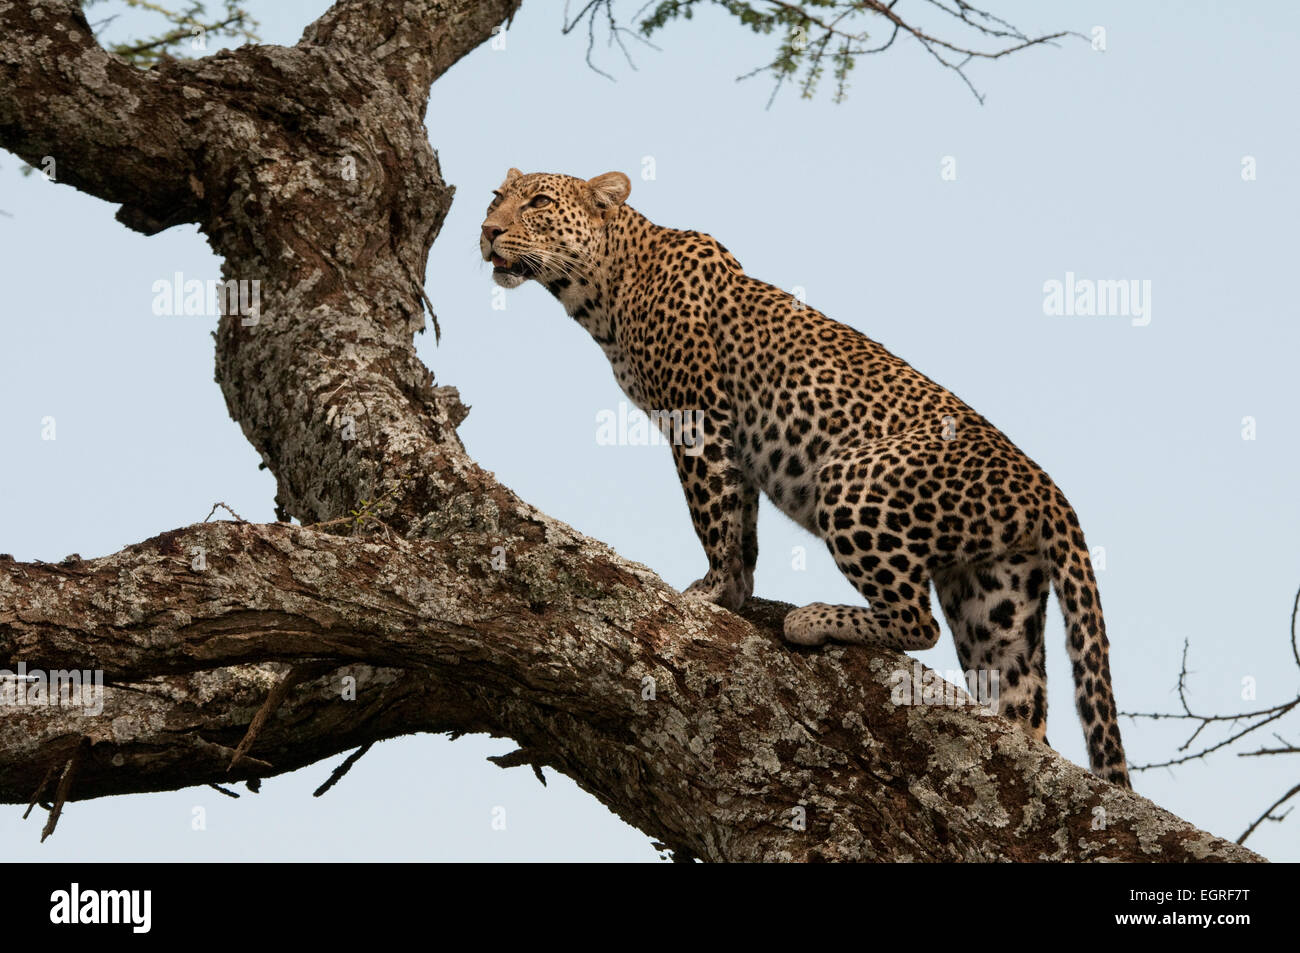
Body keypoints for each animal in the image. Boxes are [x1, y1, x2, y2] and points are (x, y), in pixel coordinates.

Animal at [480, 167, 1130, 787]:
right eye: (495, 199)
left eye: (538, 202)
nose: (487, 232)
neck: (607, 285)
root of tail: (1047, 489)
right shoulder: (731, 442)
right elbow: (740, 522)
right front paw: (738, 590)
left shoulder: (697, 420)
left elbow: (710, 514)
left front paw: (712, 593)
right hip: (995, 597)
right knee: (1021, 714)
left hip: (851, 480)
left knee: (916, 622)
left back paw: (812, 619)